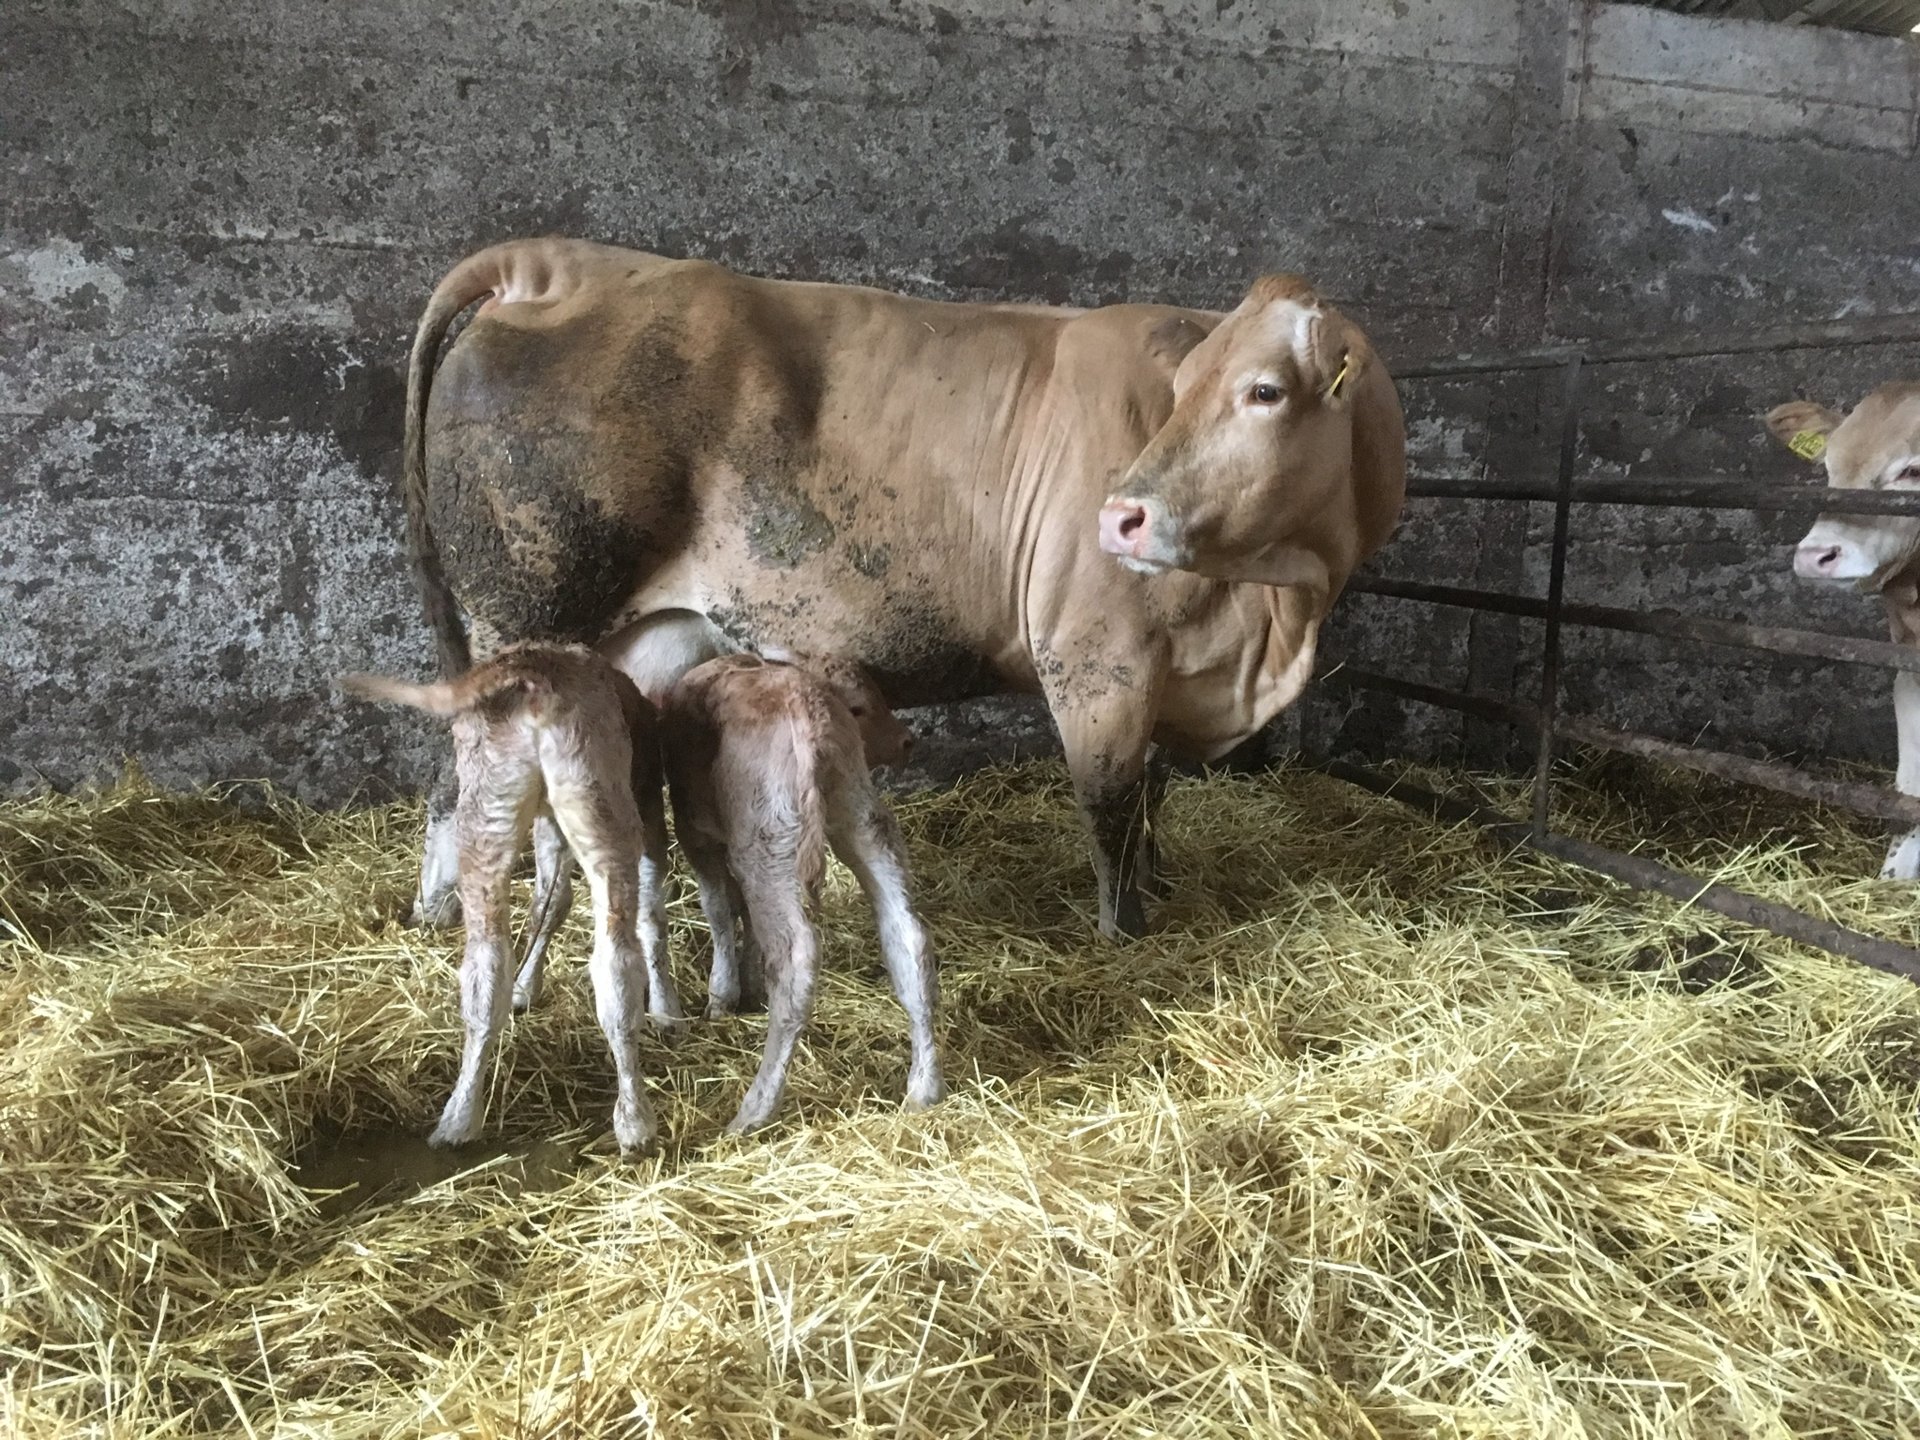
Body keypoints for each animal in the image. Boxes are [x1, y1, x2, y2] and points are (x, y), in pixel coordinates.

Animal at [400, 239, 1406, 939]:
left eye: (1265, 390)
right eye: (1186, 385)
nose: (1123, 517)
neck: (1268, 618)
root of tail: (551, 264)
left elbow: (1152, 796)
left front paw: (1162, 885)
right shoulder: (1098, 662)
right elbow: (1112, 807)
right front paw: (1129, 933)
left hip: (645, 640)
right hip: (529, 615)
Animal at [663, 651, 940, 1132]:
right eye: (861, 706)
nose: (907, 742)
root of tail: (804, 702)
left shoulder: (695, 833)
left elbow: (718, 908)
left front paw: (723, 995)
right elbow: (743, 914)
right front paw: (749, 984)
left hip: (767, 842)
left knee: (796, 955)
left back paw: (754, 1109)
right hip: (862, 821)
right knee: (908, 937)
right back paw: (924, 1089)